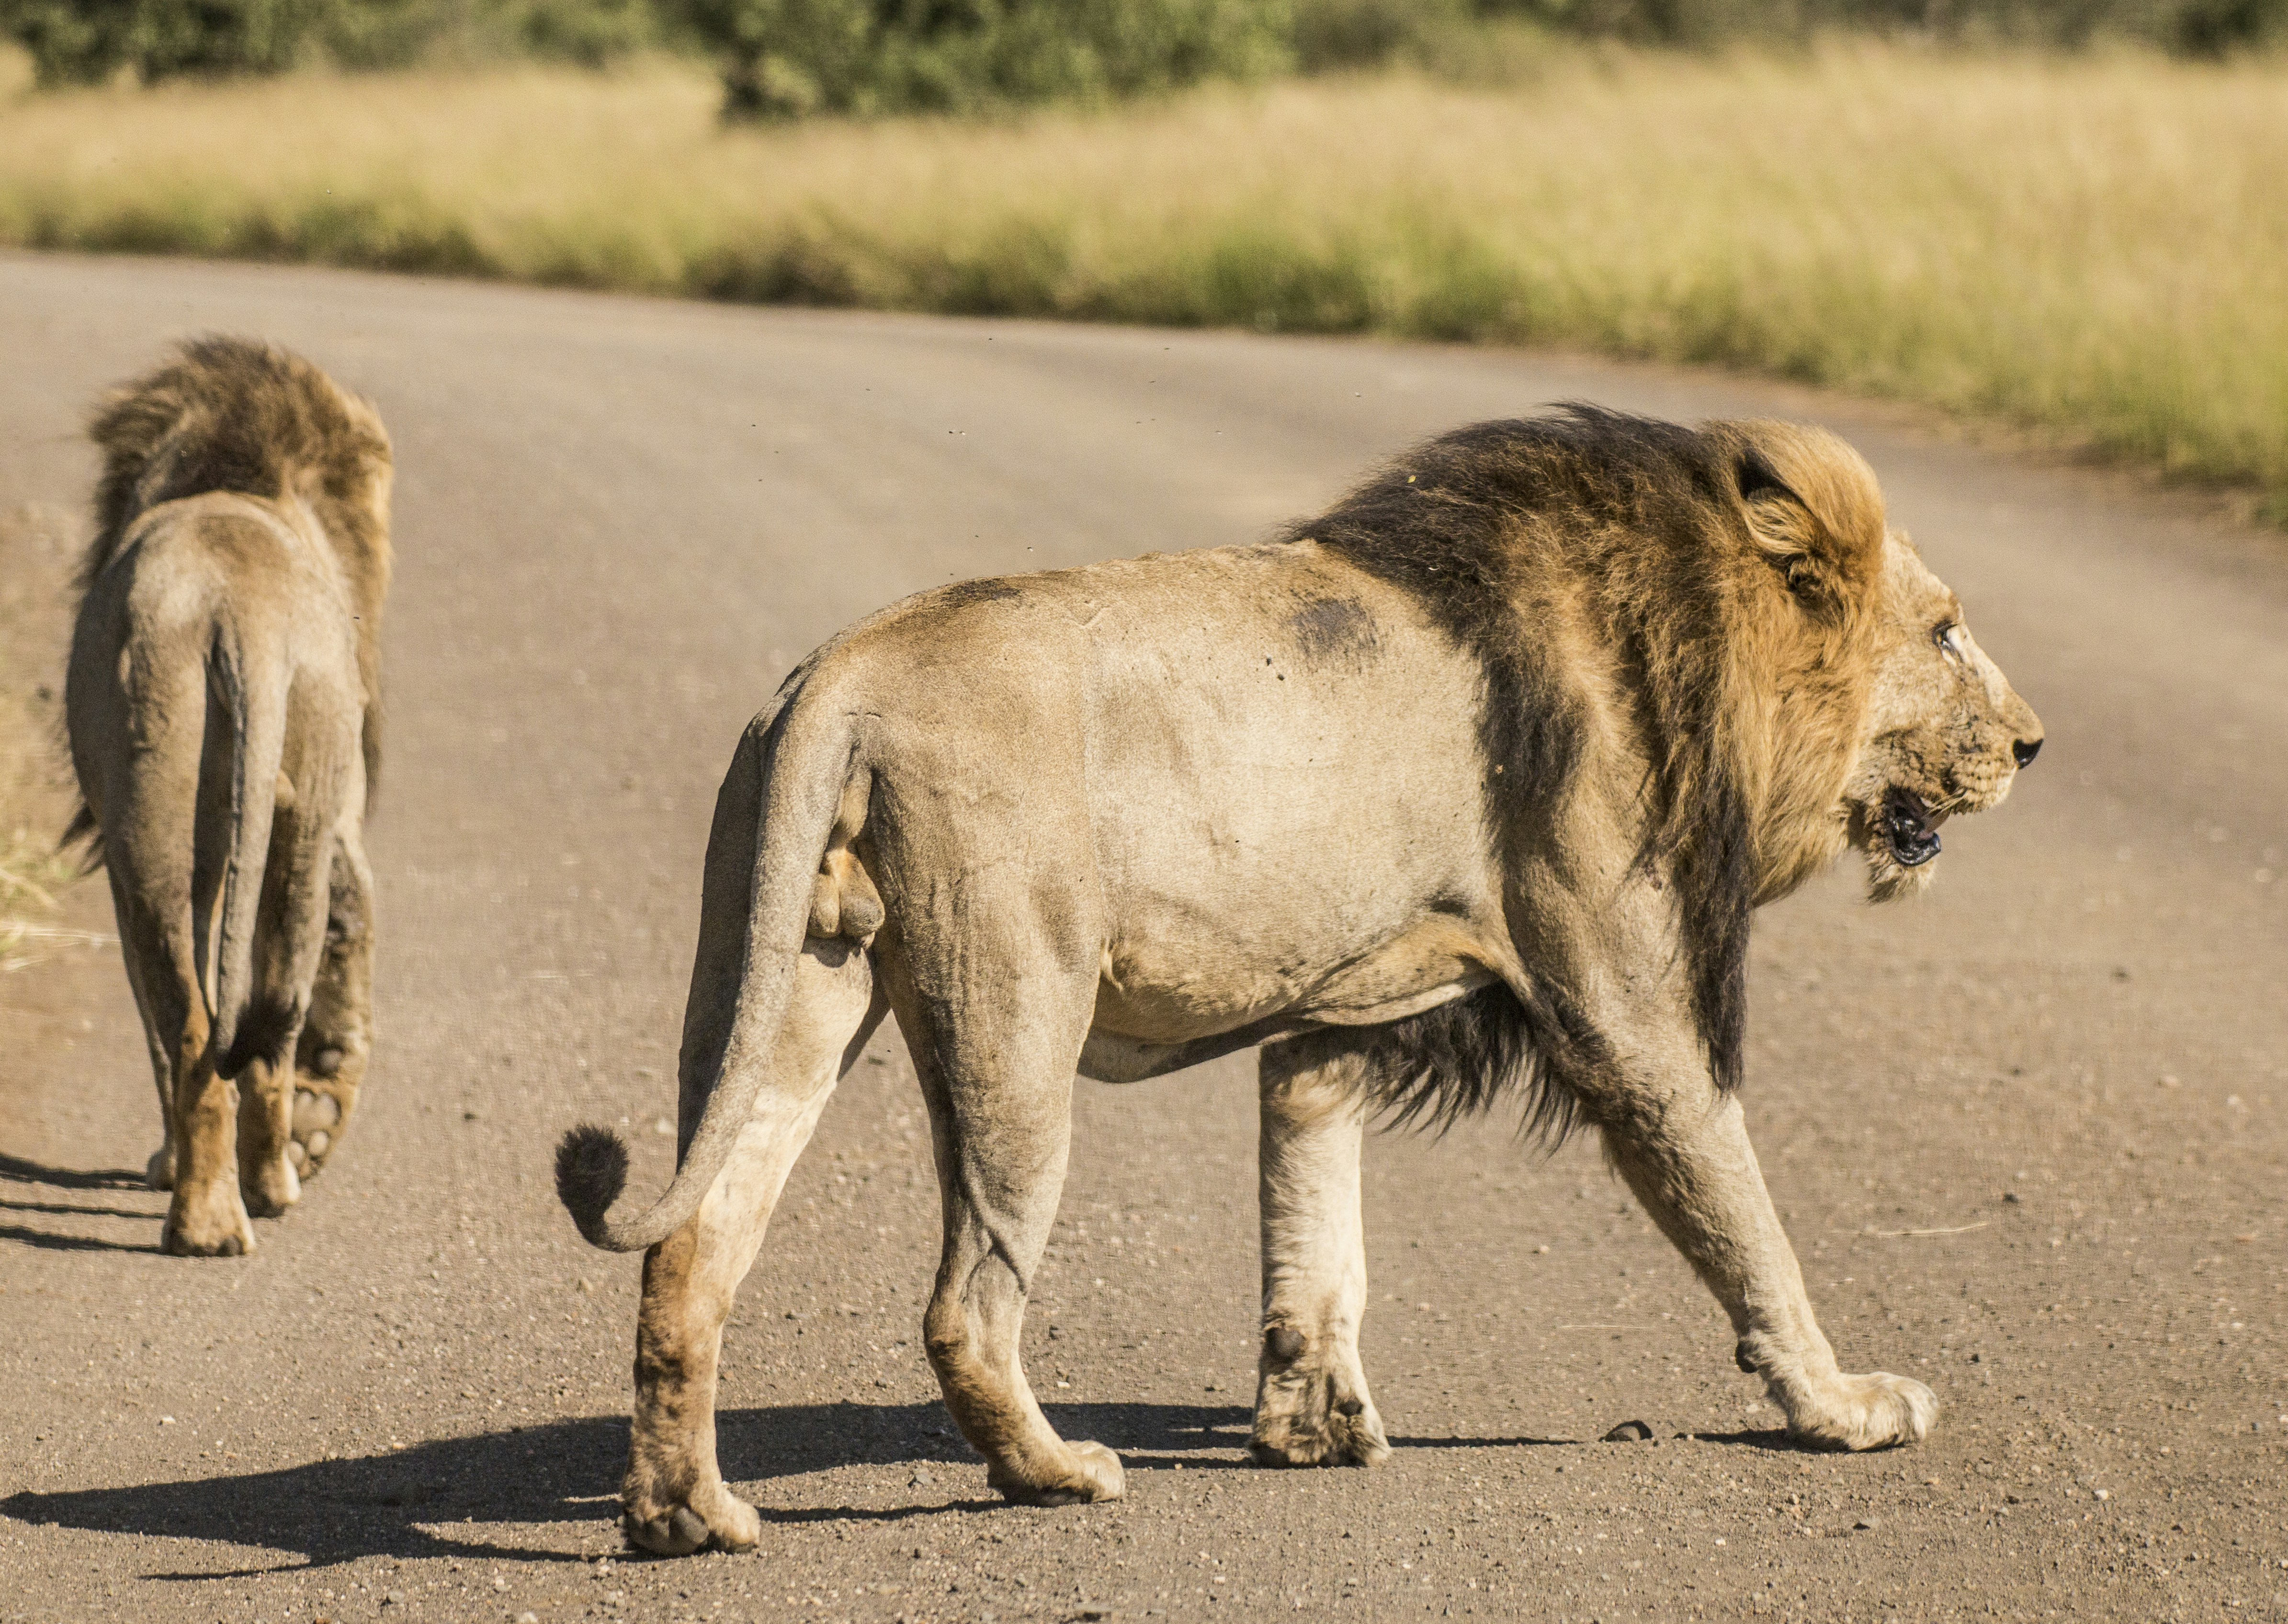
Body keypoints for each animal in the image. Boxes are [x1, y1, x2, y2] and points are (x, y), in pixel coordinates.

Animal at [64, 336, 392, 1257]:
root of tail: (238, 613)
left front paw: (163, 1163)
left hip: (159, 832)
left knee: (195, 1023)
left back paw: (215, 1209)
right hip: (296, 793)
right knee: (261, 1016)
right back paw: (258, 1191)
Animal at [557, 406, 2043, 1555]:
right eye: (1946, 632)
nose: (2033, 741)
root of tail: (841, 675)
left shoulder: (1336, 1017)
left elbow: (1311, 1221)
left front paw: (1310, 1420)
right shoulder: (1626, 1009)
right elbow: (1746, 1220)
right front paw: (1843, 1405)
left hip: (780, 987)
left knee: (691, 1249)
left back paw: (686, 1514)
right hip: (1014, 1020)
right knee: (965, 1305)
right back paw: (1053, 1472)